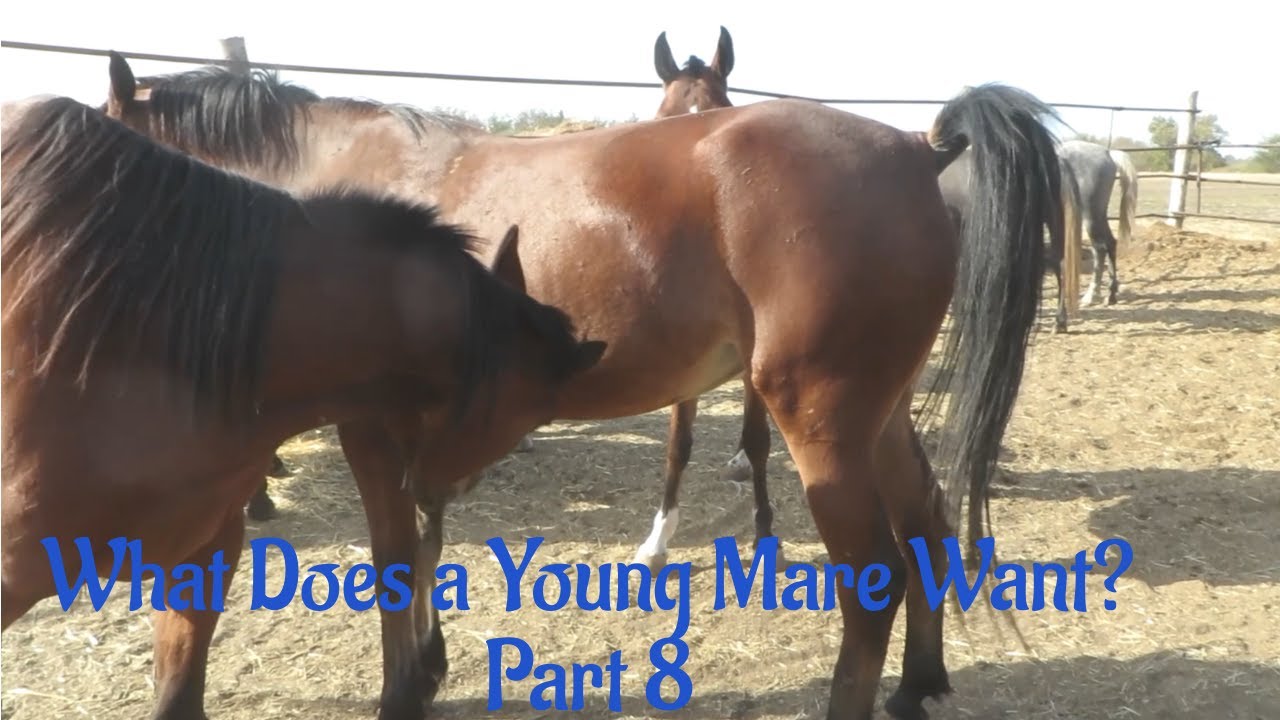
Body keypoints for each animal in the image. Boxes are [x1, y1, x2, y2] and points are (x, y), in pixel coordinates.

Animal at [101, 54, 1065, 720]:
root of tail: (916, 150)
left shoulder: (371, 431)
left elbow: (395, 561)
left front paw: (403, 690)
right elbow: (425, 545)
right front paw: (431, 666)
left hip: (821, 421)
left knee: (874, 578)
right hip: (880, 416)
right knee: (929, 525)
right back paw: (918, 683)